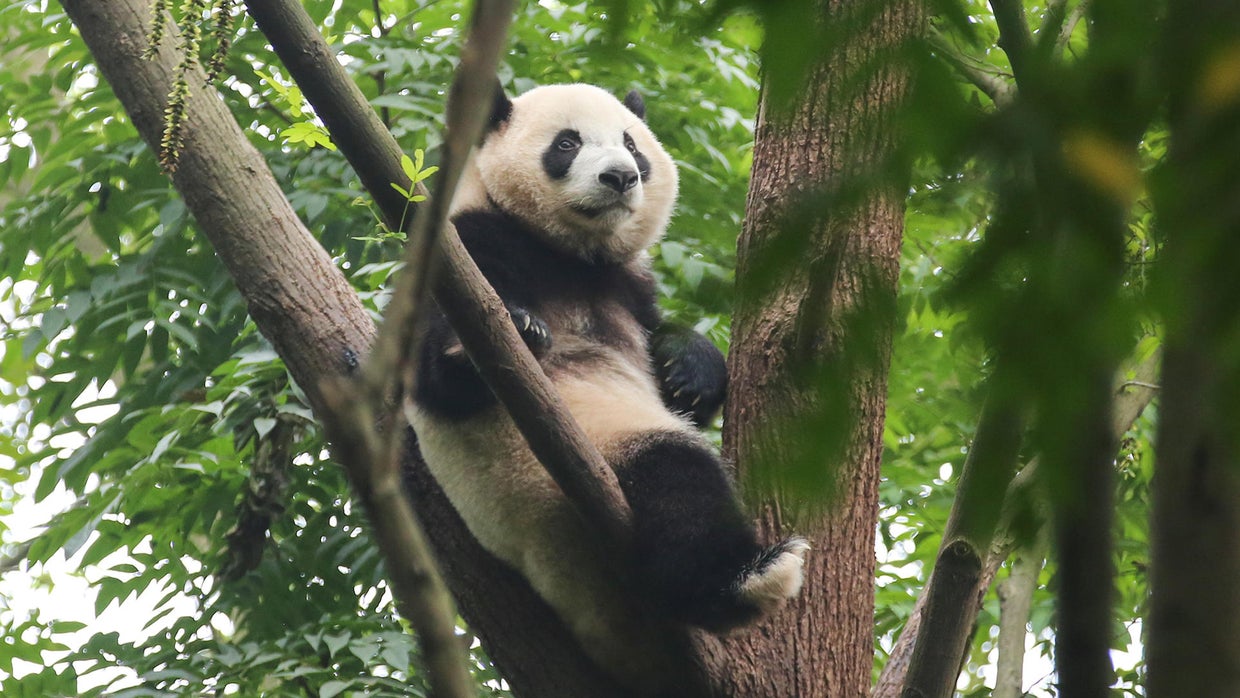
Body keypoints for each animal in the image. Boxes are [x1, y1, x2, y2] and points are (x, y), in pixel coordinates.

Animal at [406, 83, 808, 689]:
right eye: (567, 144)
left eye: (632, 144)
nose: (620, 176)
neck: (573, 253)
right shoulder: (467, 248)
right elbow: (436, 374)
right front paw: (507, 334)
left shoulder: (629, 285)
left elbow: (668, 360)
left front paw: (691, 372)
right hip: (564, 467)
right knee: (675, 478)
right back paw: (747, 577)